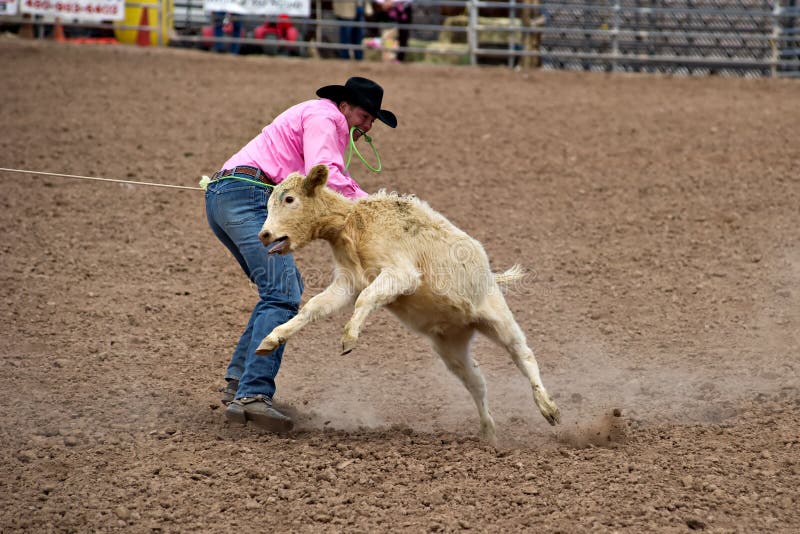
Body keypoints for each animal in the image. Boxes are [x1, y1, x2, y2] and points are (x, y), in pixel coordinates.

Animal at [255, 164, 560, 443]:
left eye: (289, 199)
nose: (264, 234)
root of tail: (491, 275)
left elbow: (367, 298)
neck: (352, 225)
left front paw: (349, 338)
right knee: (477, 384)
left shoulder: (401, 274)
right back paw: (489, 434)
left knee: (523, 355)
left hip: (499, 320)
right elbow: (314, 307)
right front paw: (272, 338)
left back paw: (548, 407)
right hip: (451, 348)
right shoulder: (347, 283)